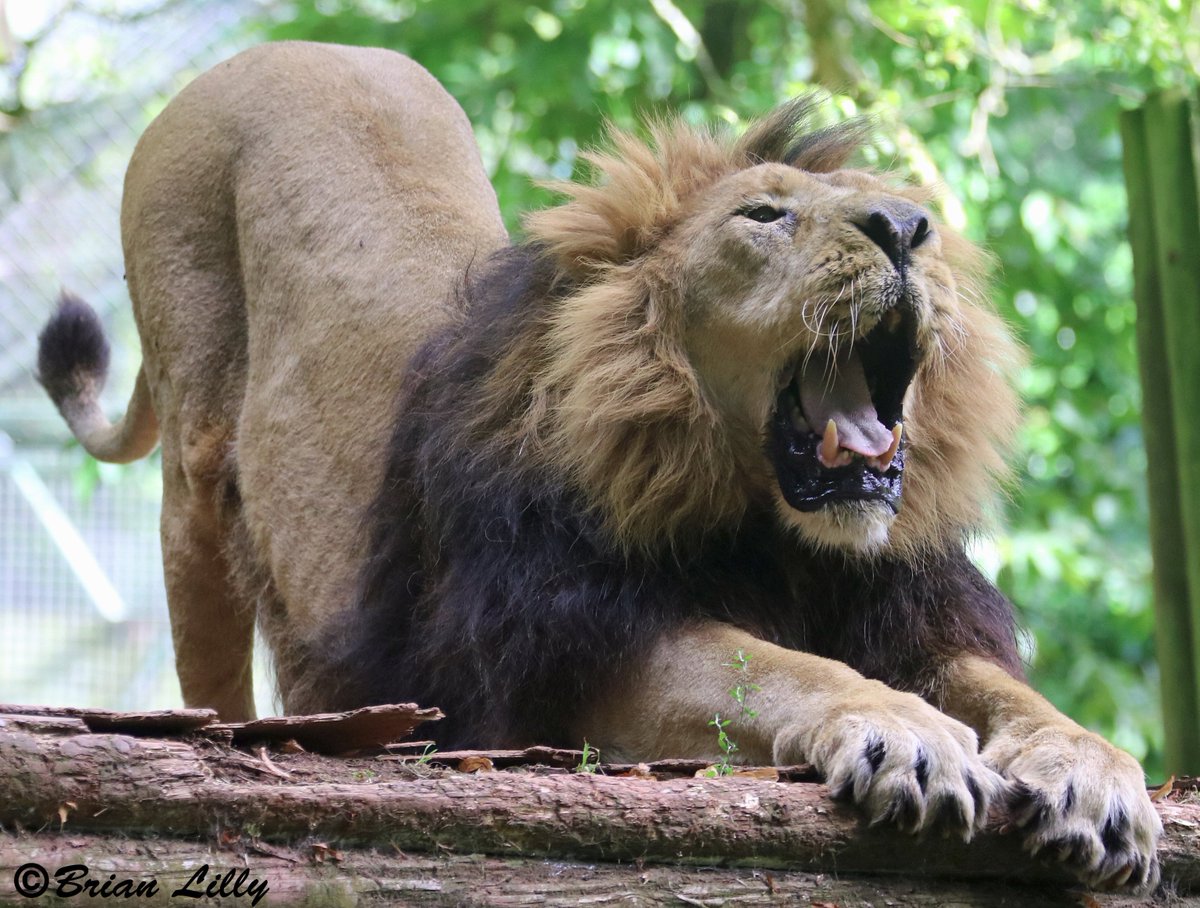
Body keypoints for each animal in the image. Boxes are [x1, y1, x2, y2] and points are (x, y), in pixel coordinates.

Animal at [38, 41, 1160, 890]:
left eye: (908, 207)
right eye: (763, 215)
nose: (905, 227)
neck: (777, 527)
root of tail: (276, 49)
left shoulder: (896, 605)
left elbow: (1008, 691)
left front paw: (1097, 775)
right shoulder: (561, 641)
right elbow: (769, 665)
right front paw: (904, 732)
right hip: (192, 462)